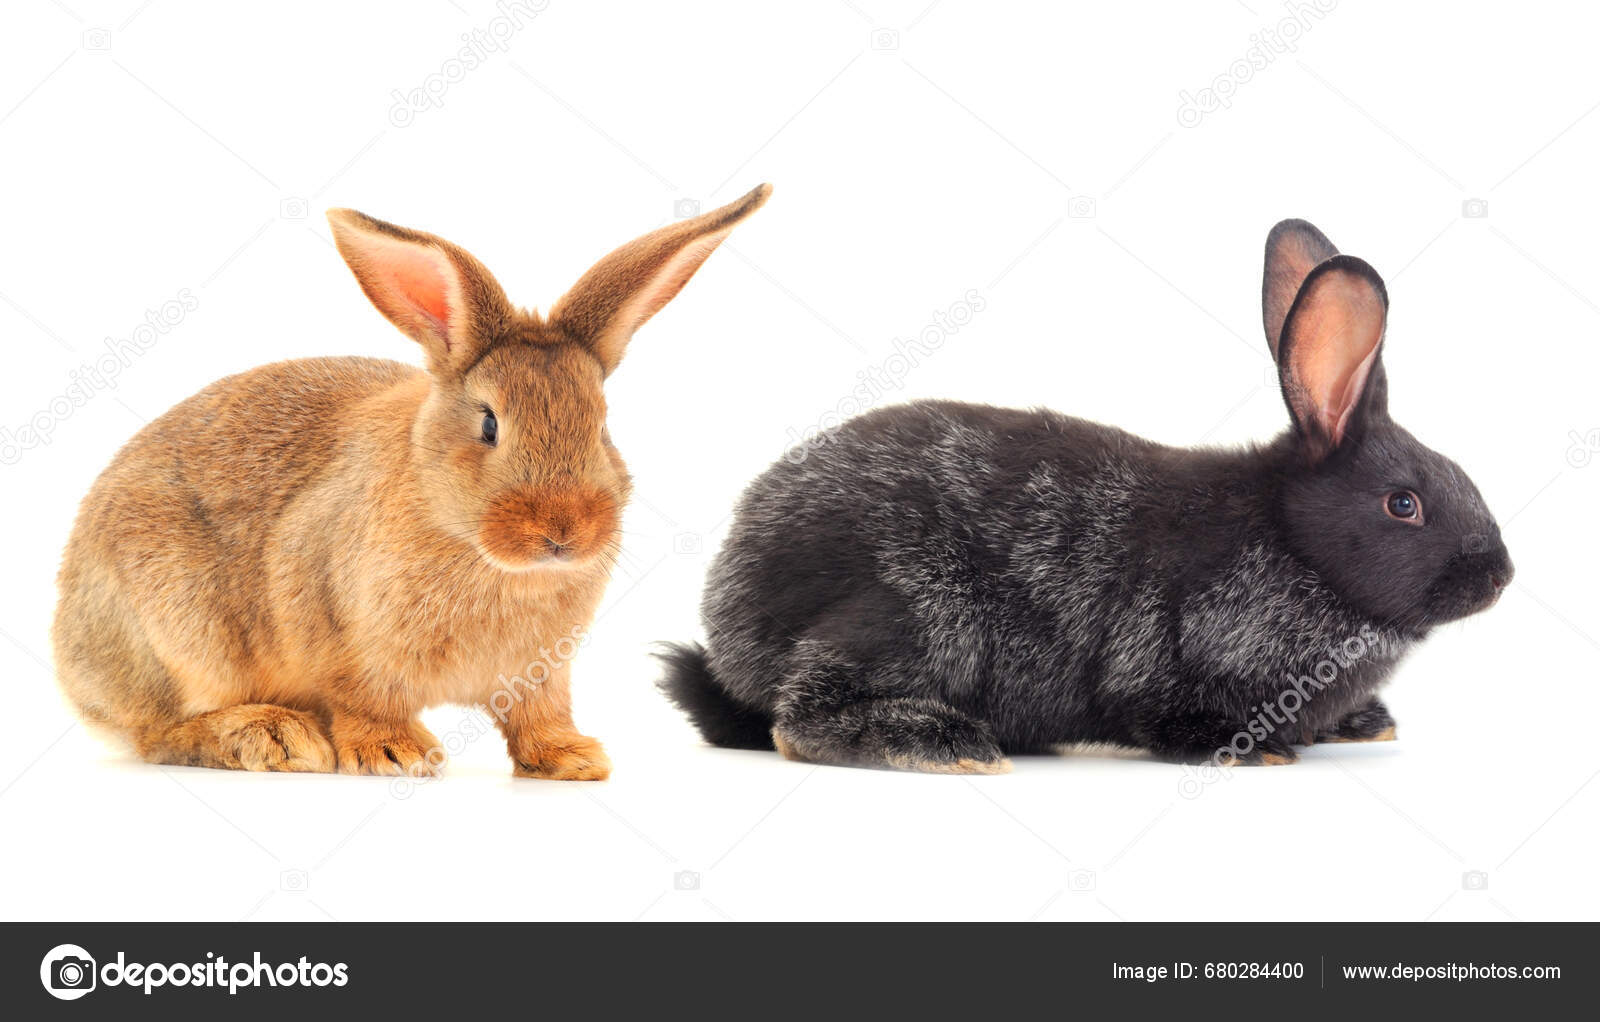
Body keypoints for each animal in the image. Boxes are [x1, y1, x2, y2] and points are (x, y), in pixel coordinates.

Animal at [53, 184, 772, 778]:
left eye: (600, 425)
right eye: (489, 425)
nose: (563, 530)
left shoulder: (542, 673)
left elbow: (538, 716)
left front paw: (572, 759)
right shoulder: (336, 630)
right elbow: (364, 700)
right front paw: (397, 753)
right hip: (174, 639)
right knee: (159, 732)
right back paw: (274, 737)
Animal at [659, 218, 1513, 774]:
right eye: (1404, 504)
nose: (1500, 577)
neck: (1293, 545)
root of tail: (730, 624)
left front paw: (1362, 725)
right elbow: (1163, 712)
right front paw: (1253, 748)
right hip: (917, 612)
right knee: (799, 722)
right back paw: (944, 743)